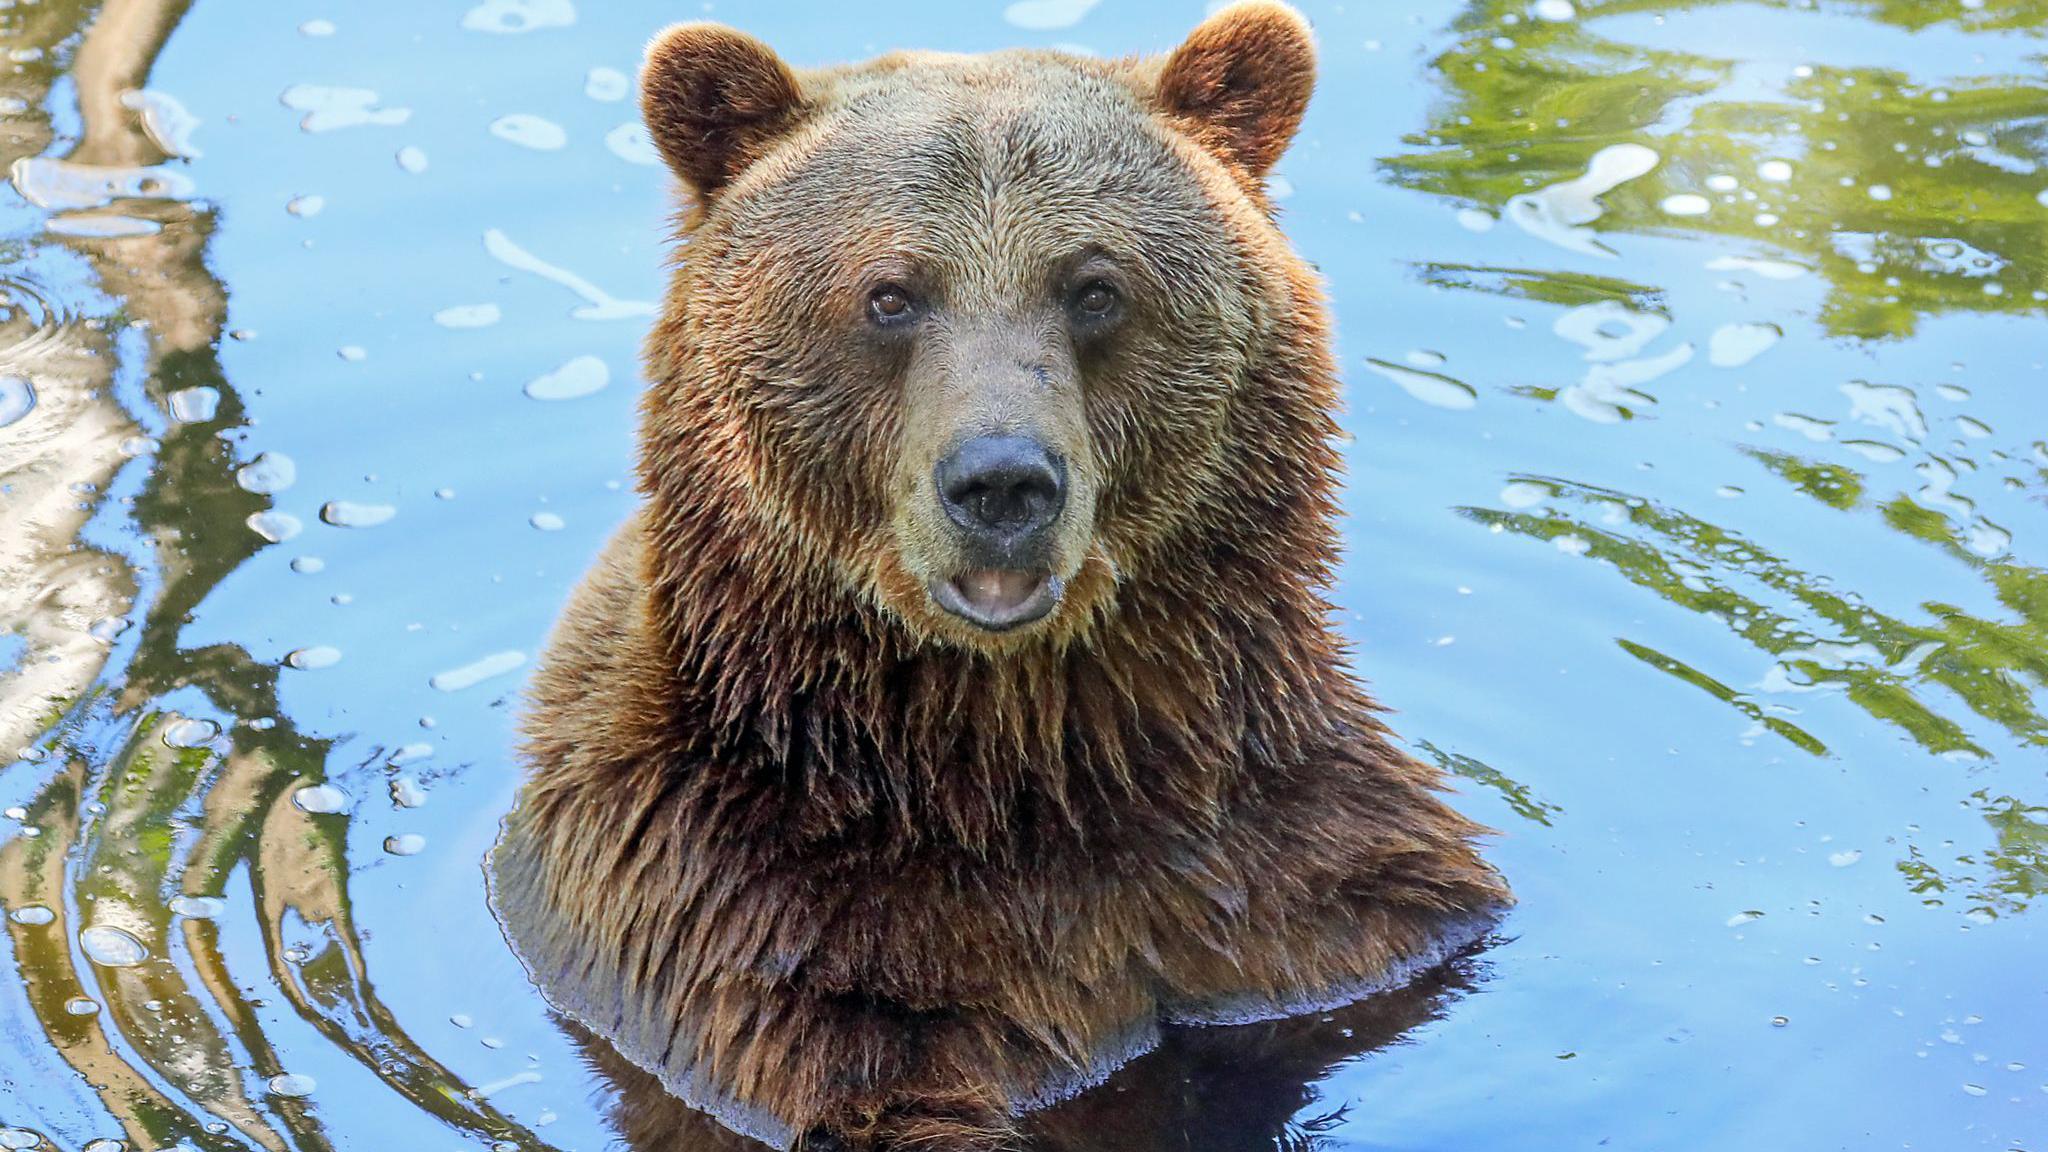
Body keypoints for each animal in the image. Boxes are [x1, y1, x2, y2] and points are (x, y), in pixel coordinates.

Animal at [488, 4, 1511, 1149]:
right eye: (890, 295)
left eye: (1096, 288)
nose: (1002, 482)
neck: (1016, 766)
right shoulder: (762, 945)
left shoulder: (1310, 885)